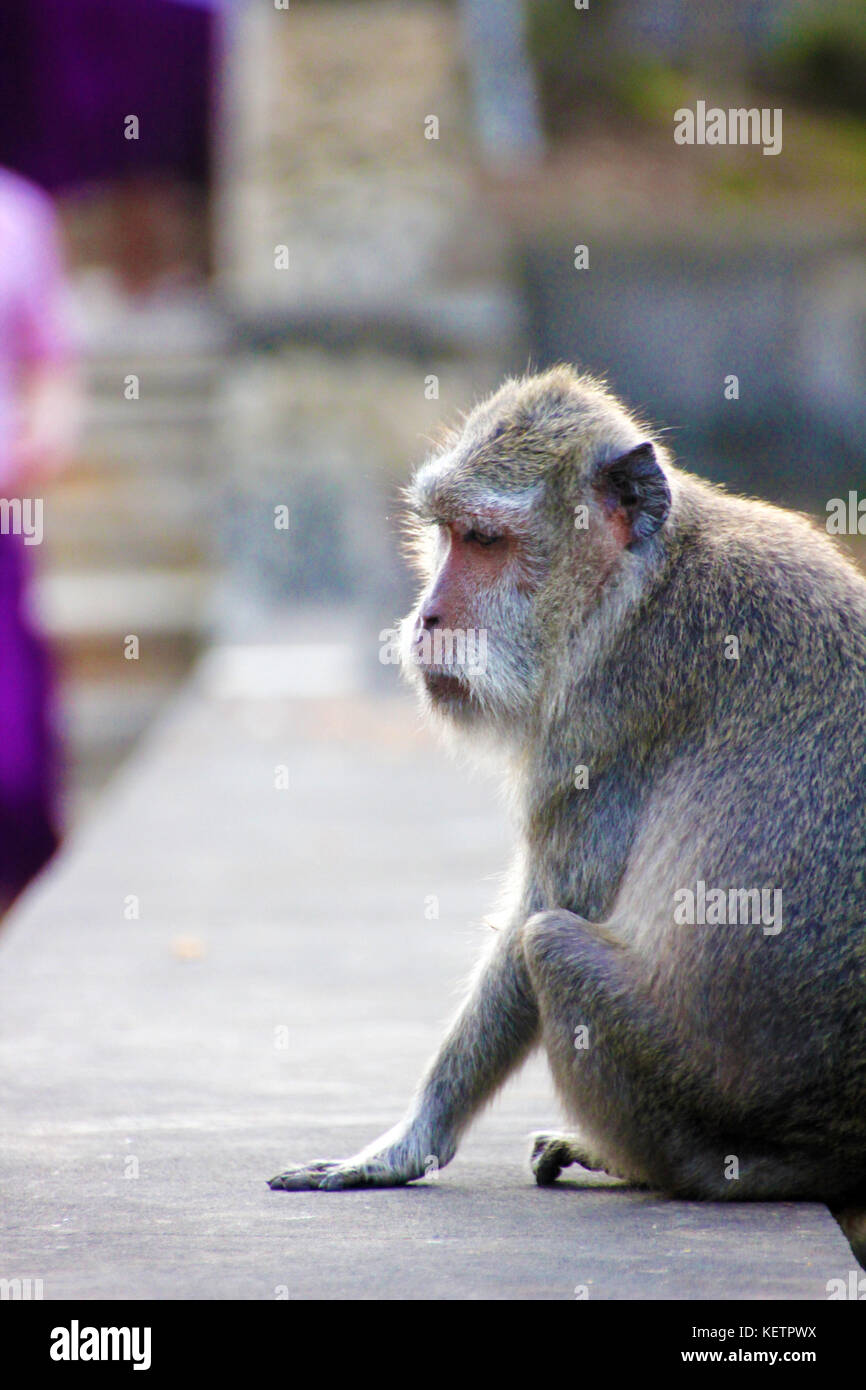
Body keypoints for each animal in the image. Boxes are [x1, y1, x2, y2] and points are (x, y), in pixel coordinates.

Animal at [269, 366, 866, 1270]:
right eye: (445, 535)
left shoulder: (603, 712)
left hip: (696, 1098)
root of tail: (834, 1150)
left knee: (549, 944)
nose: (428, 617)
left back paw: (638, 1164)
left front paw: (410, 1139)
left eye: (485, 541)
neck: (636, 585)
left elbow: (554, 903)